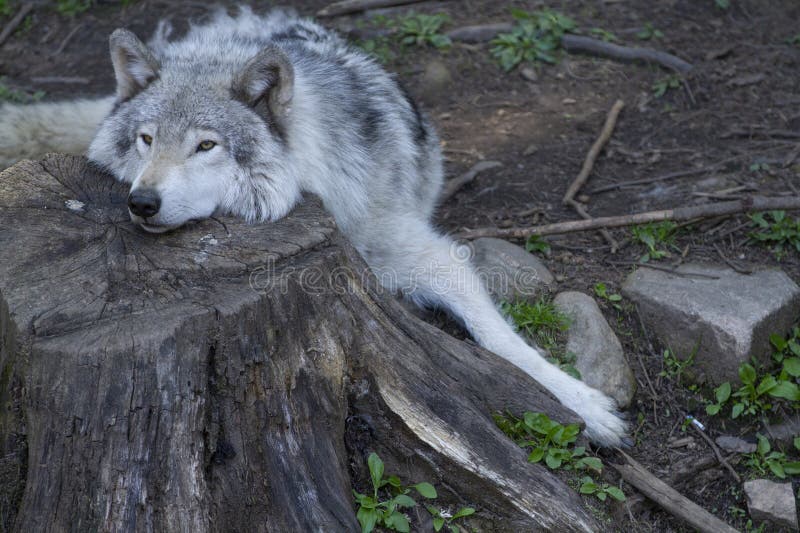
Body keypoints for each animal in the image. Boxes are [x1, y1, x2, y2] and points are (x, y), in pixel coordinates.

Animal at [0, 7, 626, 446]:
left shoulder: (421, 252)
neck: (316, 175)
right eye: (146, 140)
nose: (142, 203)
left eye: (206, 146)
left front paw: (581, 404)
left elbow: (499, 337)